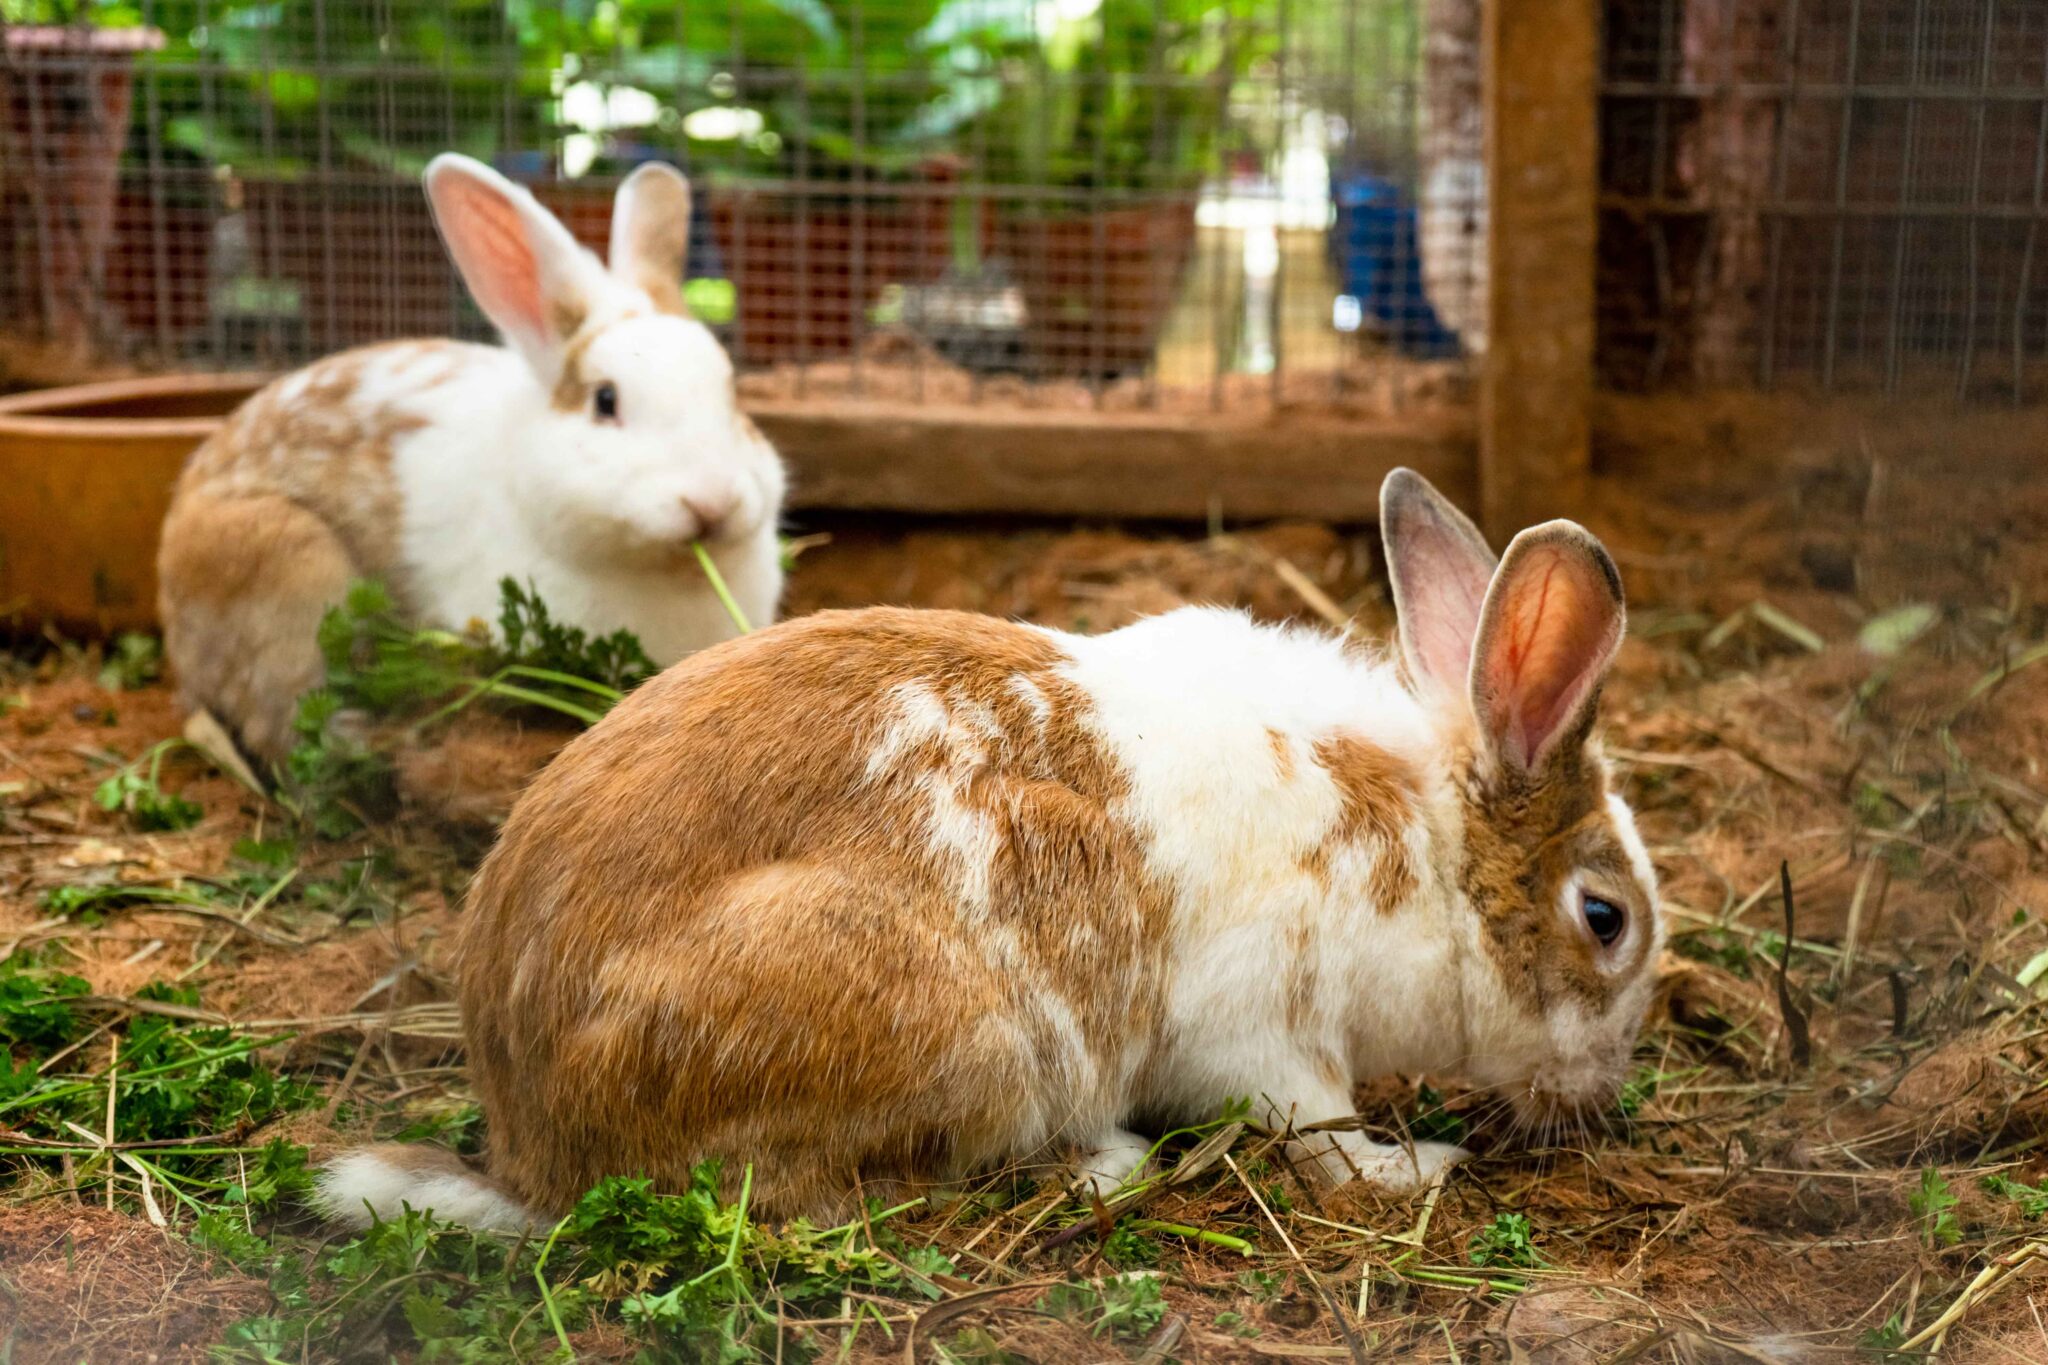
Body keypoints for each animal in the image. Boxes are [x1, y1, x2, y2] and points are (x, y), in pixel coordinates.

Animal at [315, 467, 1663, 1230]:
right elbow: (1319, 1133)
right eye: (1603, 919)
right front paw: (1413, 1167)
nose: (1601, 1091)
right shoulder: (1269, 1035)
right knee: (813, 1193)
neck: (1418, 846)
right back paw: (1104, 1168)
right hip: (965, 1035)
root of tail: (535, 1150)